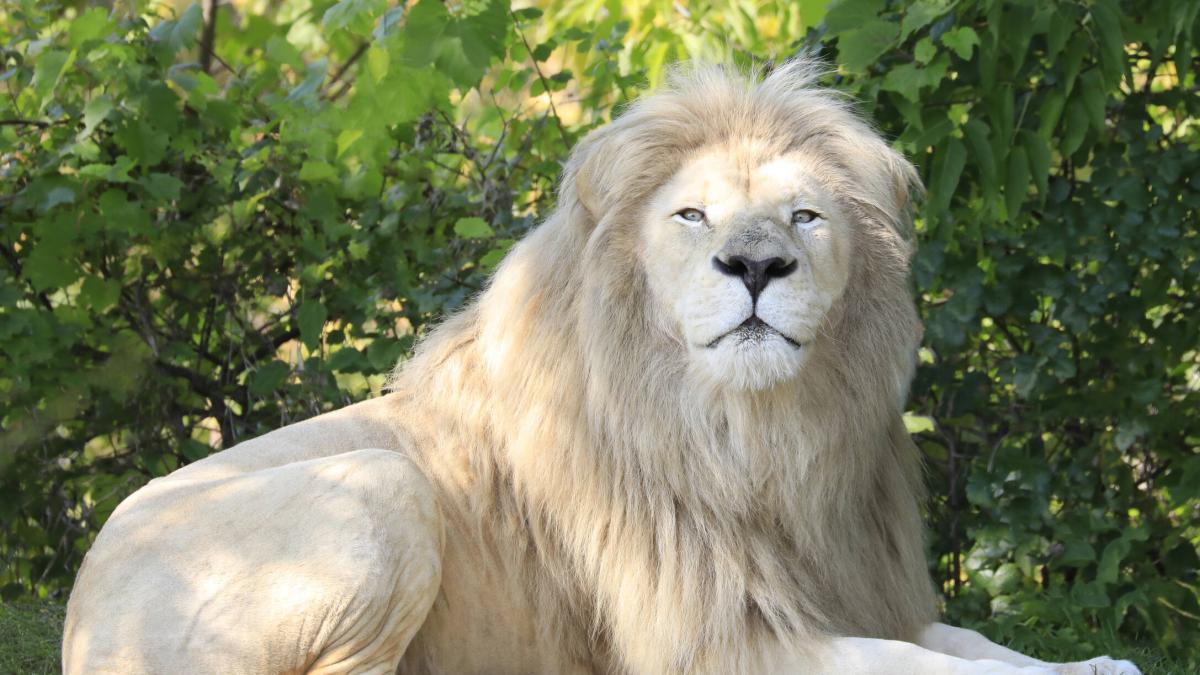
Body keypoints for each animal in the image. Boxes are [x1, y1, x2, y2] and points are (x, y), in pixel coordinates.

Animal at [63, 61, 1141, 675]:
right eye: (693, 215)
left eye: (805, 215)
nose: (757, 266)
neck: (760, 439)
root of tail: (77, 620)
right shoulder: (723, 641)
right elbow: (932, 669)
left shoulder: (856, 589)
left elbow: (975, 647)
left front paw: (1096, 663)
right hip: (378, 488)